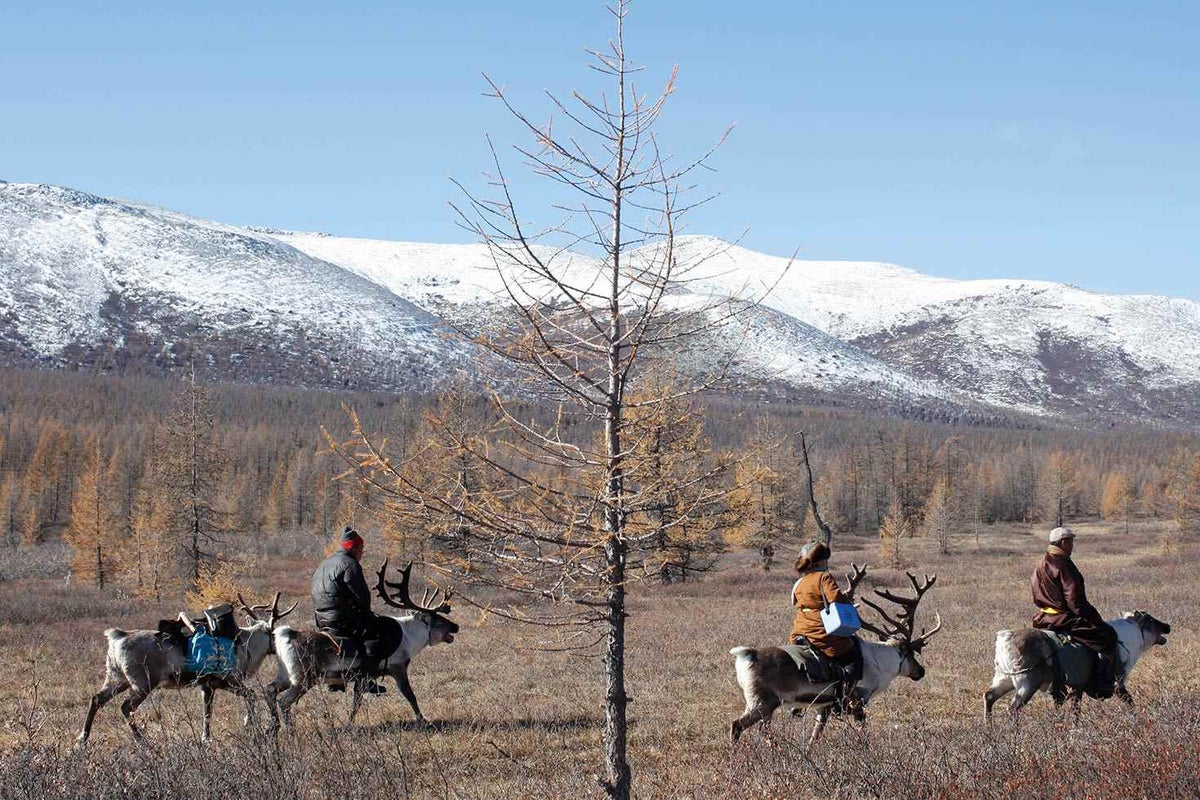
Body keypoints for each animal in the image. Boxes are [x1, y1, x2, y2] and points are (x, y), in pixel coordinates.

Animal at [76, 593, 296, 746]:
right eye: (273, 633)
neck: (245, 645)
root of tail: (117, 637)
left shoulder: (207, 686)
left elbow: (207, 713)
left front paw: (205, 739)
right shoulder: (228, 680)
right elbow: (250, 695)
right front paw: (248, 724)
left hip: (116, 678)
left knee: (96, 699)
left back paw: (82, 740)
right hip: (142, 683)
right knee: (125, 707)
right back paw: (142, 742)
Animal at [267, 559, 459, 729]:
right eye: (438, 619)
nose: (456, 626)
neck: (409, 636)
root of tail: (284, 636)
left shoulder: (362, 679)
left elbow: (355, 704)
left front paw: (349, 724)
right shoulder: (397, 668)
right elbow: (410, 696)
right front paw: (424, 720)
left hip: (285, 675)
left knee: (270, 690)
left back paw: (273, 727)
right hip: (304, 678)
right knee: (284, 702)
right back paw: (290, 731)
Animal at [729, 567, 941, 746]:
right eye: (910, 653)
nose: (921, 671)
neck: (880, 662)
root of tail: (747, 655)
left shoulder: (824, 705)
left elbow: (815, 735)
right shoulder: (859, 699)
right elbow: (862, 731)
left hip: (761, 705)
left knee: (761, 729)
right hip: (762, 703)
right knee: (737, 725)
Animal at [985, 610, 1170, 720]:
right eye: (1150, 620)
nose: (1168, 626)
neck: (1128, 640)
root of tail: (1004, 639)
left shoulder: (1077, 685)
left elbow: (1075, 711)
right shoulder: (1118, 682)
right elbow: (1130, 703)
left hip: (1004, 678)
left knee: (989, 696)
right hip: (1027, 683)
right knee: (1013, 708)